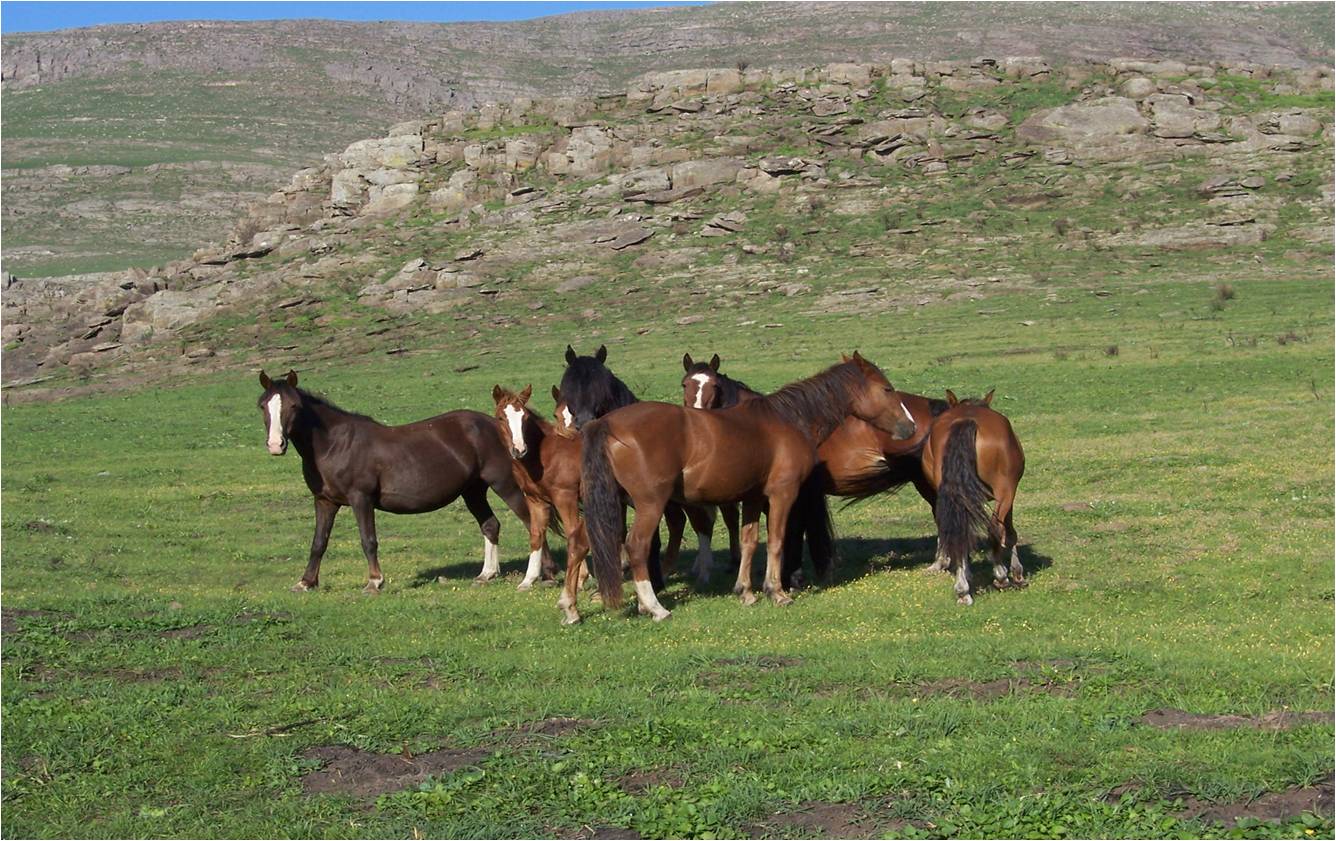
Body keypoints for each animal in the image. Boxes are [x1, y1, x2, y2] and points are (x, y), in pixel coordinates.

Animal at [256, 370, 543, 593]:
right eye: (263, 405)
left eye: (294, 406)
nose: (275, 445)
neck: (335, 445)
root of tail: (506, 432)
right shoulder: (325, 501)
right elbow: (318, 543)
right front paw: (306, 582)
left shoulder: (361, 499)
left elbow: (368, 540)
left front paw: (374, 582)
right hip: (473, 491)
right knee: (491, 525)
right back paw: (487, 574)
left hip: (505, 485)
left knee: (532, 524)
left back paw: (542, 576)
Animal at [491, 384, 591, 622]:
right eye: (500, 417)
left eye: (525, 417)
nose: (519, 450)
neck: (547, 455)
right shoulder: (535, 500)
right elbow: (536, 534)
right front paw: (528, 580)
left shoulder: (565, 498)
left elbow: (574, 533)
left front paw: (580, 580)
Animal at [581, 353, 917, 619]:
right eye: (886, 389)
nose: (910, 426)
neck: (788, 420)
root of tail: (607, 423)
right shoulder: (781, 494)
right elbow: (778, 540)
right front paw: (776, 592)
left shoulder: (753, 497)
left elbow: (749, 541)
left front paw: (746, 591)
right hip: (651, 504)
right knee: (636, 546)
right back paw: (655, 608)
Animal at [919, 389, 1026, 605]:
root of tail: (967, 420)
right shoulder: (1009, 495)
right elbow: (1009, 533)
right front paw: (1017, 572)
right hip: (1005, 491)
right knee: (995, 528)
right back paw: (1000, 577)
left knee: (959, 532)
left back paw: (963, 590)